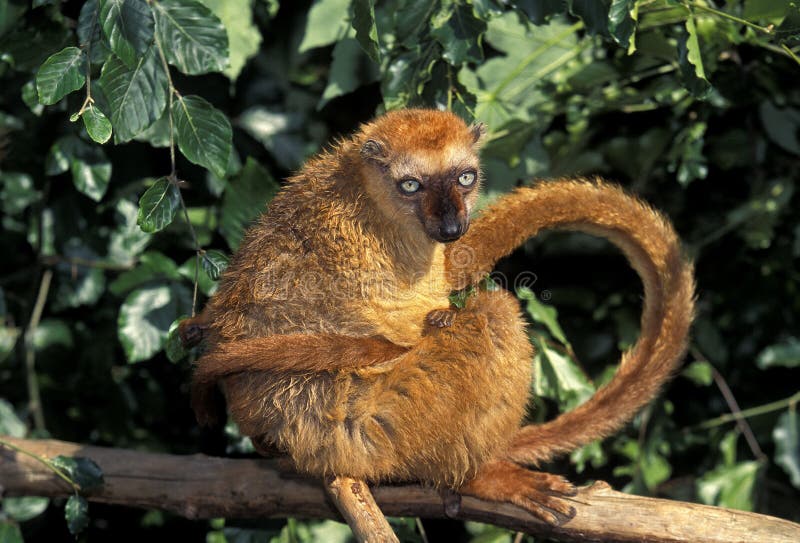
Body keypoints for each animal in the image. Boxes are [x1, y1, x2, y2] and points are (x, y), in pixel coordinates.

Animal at [182, 108, 695, 525]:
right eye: (412, 185)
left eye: (464, 178)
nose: (451, 224)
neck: (361, 187)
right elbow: (408, 330)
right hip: (378, 429)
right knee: (492, 316)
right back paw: (475, 477)